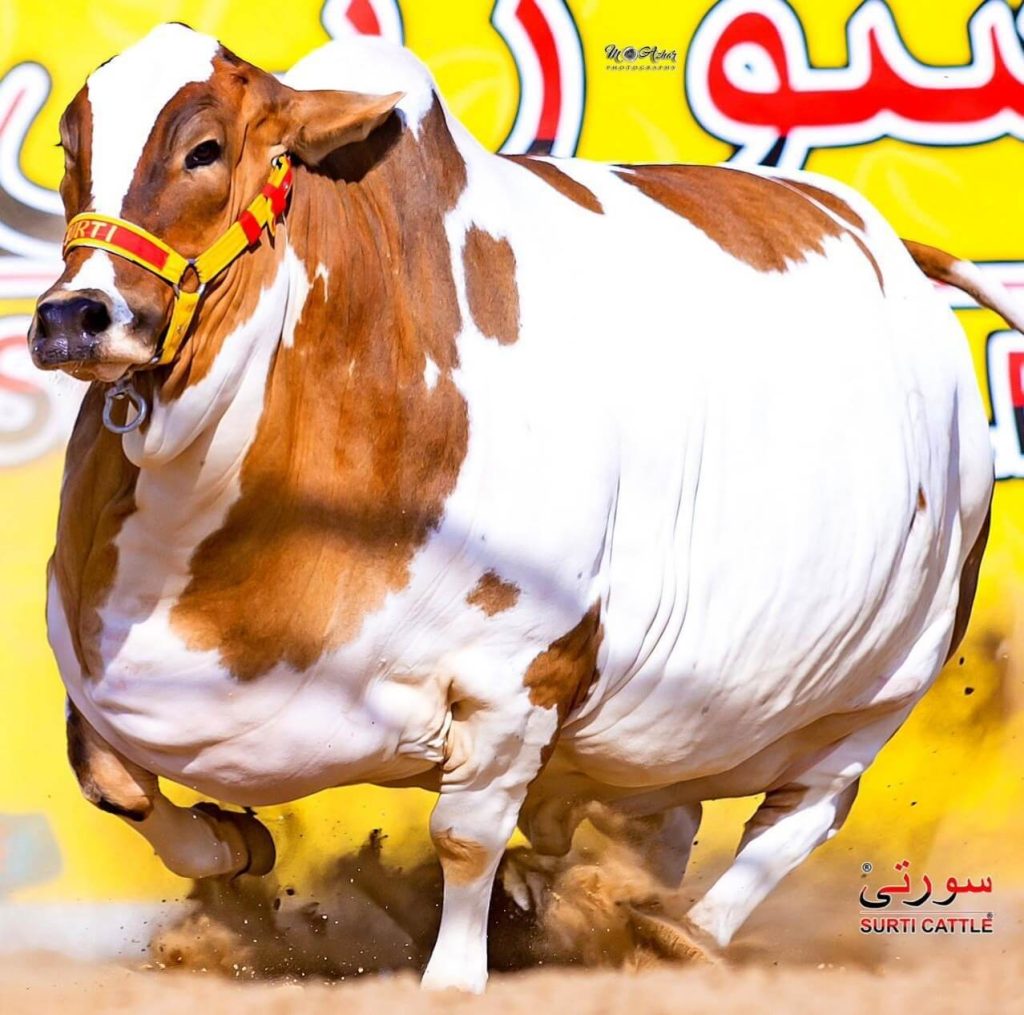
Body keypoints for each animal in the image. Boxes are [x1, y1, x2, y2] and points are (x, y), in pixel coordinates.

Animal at [27, 24, 1017, 993]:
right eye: (69, 147)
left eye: (204, 148)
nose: (74, 315)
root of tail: (896, 244)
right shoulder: (92, 654)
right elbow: (109, 779)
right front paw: (232, 841)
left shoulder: (522, 672)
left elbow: (465, 838)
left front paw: (453, 975)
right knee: (671, 815)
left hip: (888, 680)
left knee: (801, 814)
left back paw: (683, 931)